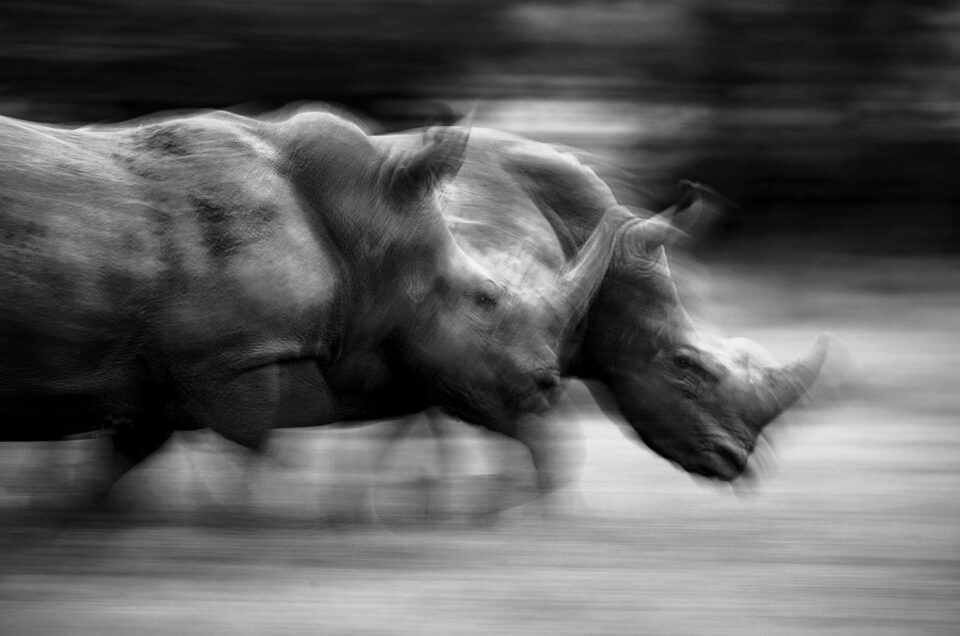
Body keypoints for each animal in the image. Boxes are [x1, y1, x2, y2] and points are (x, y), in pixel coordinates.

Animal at [0, 107, 635, 503]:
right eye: (483, 299)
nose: (549, 385)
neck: (368, 228)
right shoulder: (230, 356)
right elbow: (255, 451)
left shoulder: (156, 369)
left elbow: (119, 461)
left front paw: (67, 522)